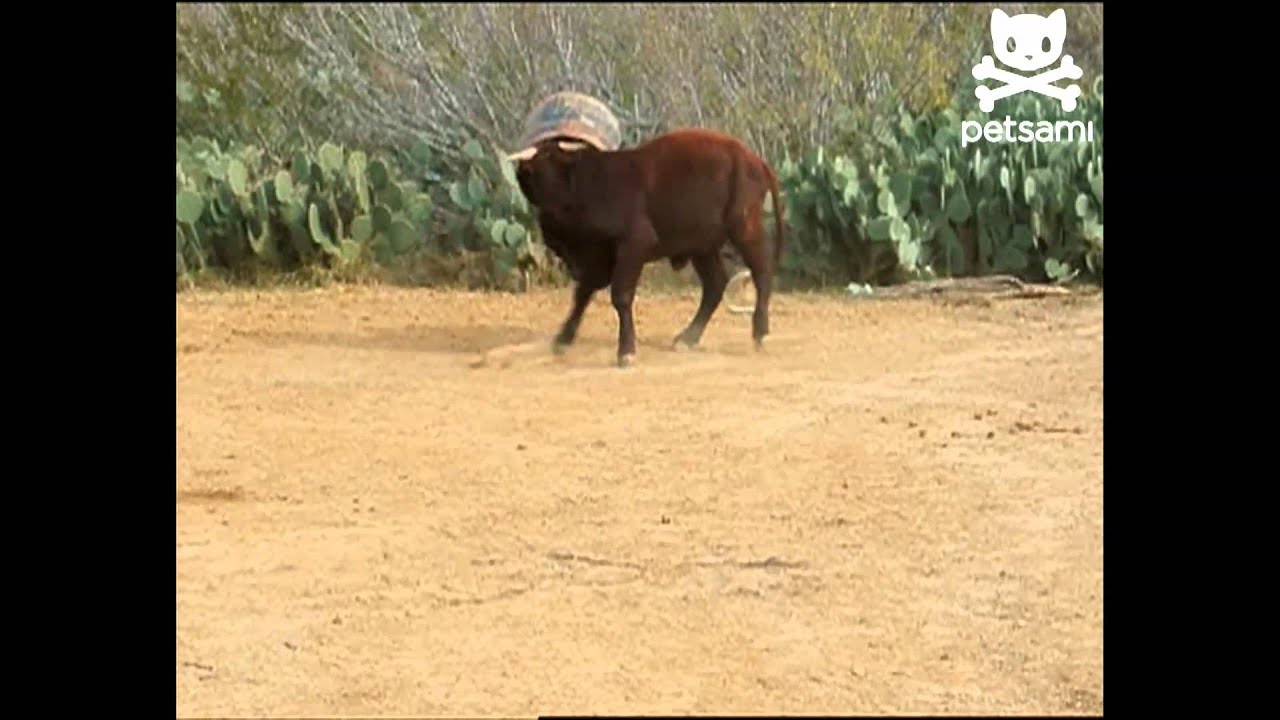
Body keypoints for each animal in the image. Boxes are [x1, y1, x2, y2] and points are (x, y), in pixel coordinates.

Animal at [506, 127, 785, 368]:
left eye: (551, 157)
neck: (584, 184)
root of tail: (753, 159)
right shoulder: (599, 257)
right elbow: (583, 293)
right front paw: (563, 339)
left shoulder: (633, 246)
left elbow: (620, 296)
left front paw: (626, 351)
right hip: (702, 245)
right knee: (715, 284)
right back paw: (688, 338)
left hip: (743, 229)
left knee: (761, 271)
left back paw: (760, 332)